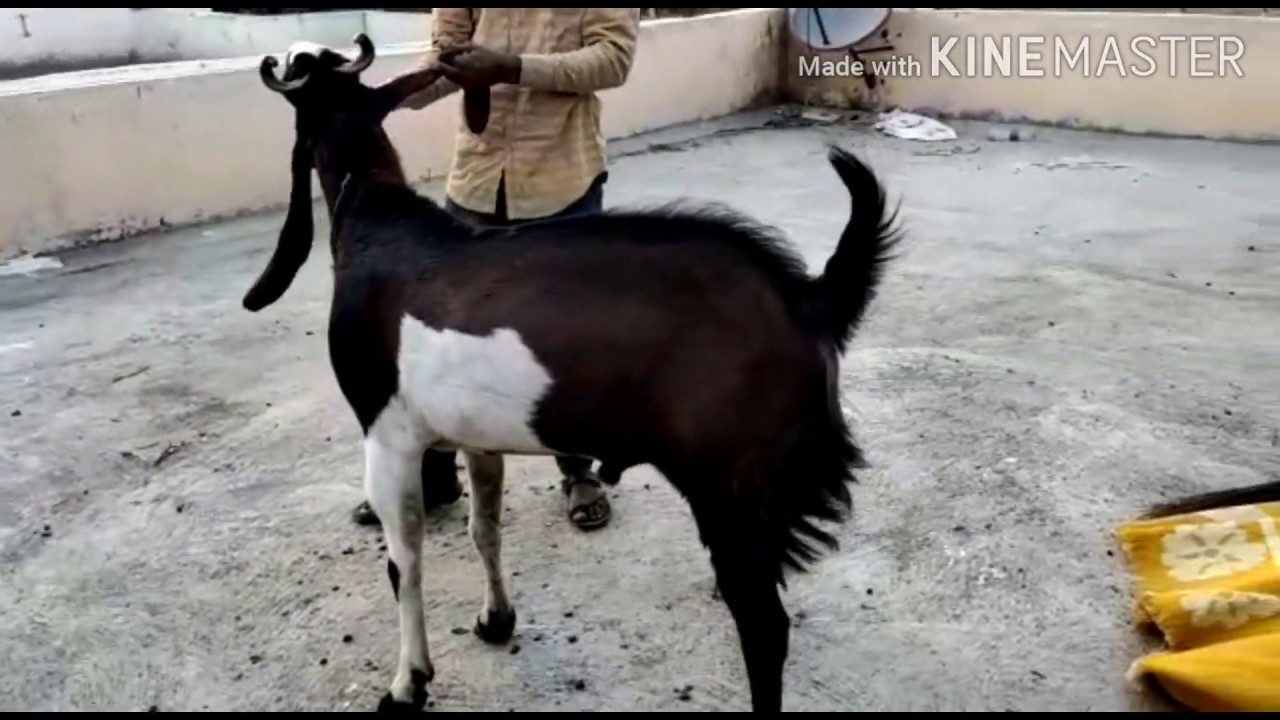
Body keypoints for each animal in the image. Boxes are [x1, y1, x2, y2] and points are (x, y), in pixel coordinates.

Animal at [243, 34, 900, 713]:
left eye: (297, 71)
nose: (287, 55)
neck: (373, 212)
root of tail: (810, 298)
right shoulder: (478, 439)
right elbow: (484, 528)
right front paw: (495, 619)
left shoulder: (385, 432)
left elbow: (405, 561)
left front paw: (408, 682)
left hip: (732, 487)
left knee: (764, 627)